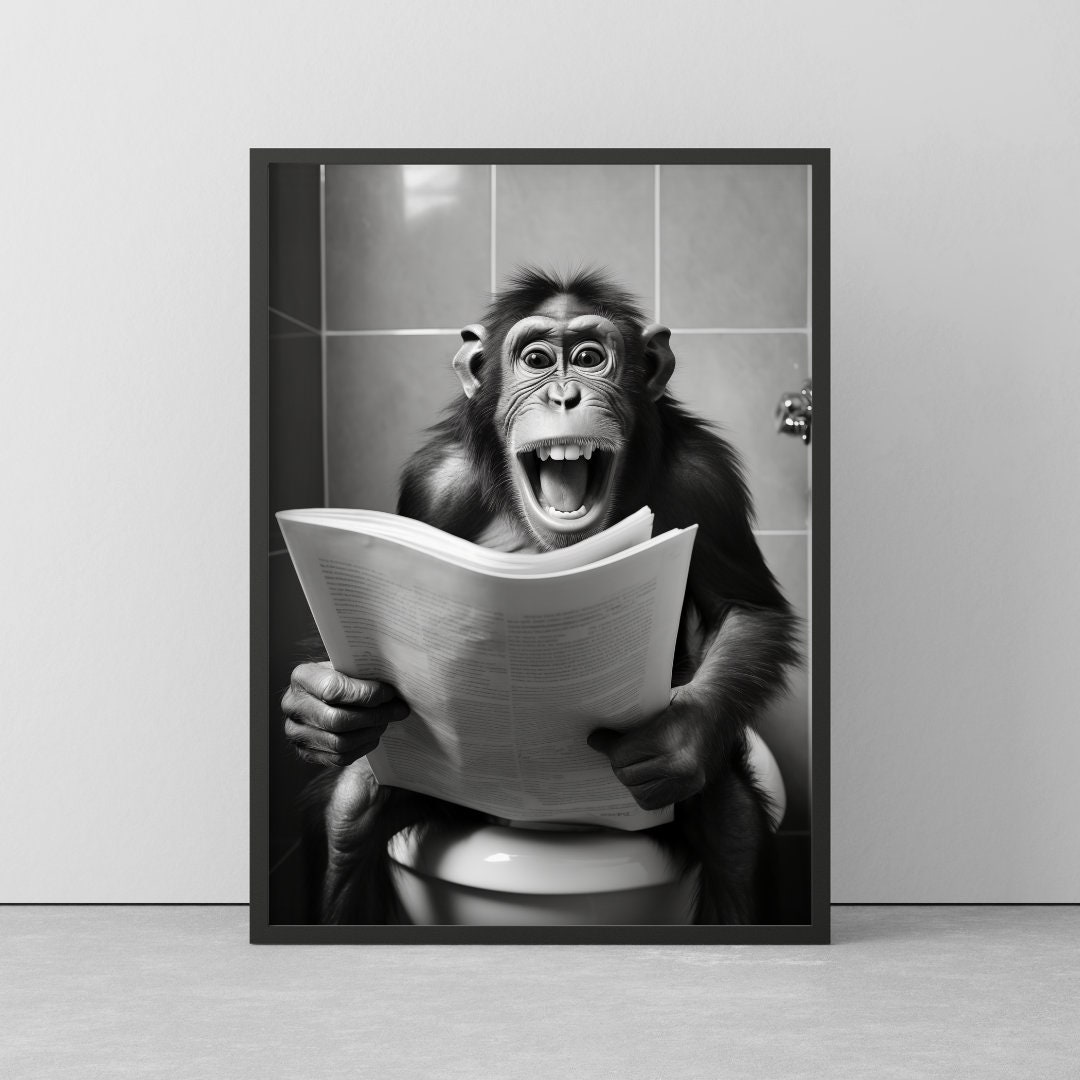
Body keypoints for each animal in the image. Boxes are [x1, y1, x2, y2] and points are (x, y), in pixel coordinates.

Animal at [281, 267, 800, 924]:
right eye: (534, 360)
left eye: (589, 358)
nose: (564, 396)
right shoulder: (435, 484)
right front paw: (323, 705)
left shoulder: (704, 478)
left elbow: (746, 609)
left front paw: (678, 741)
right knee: (351, 816)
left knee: (734, 832)